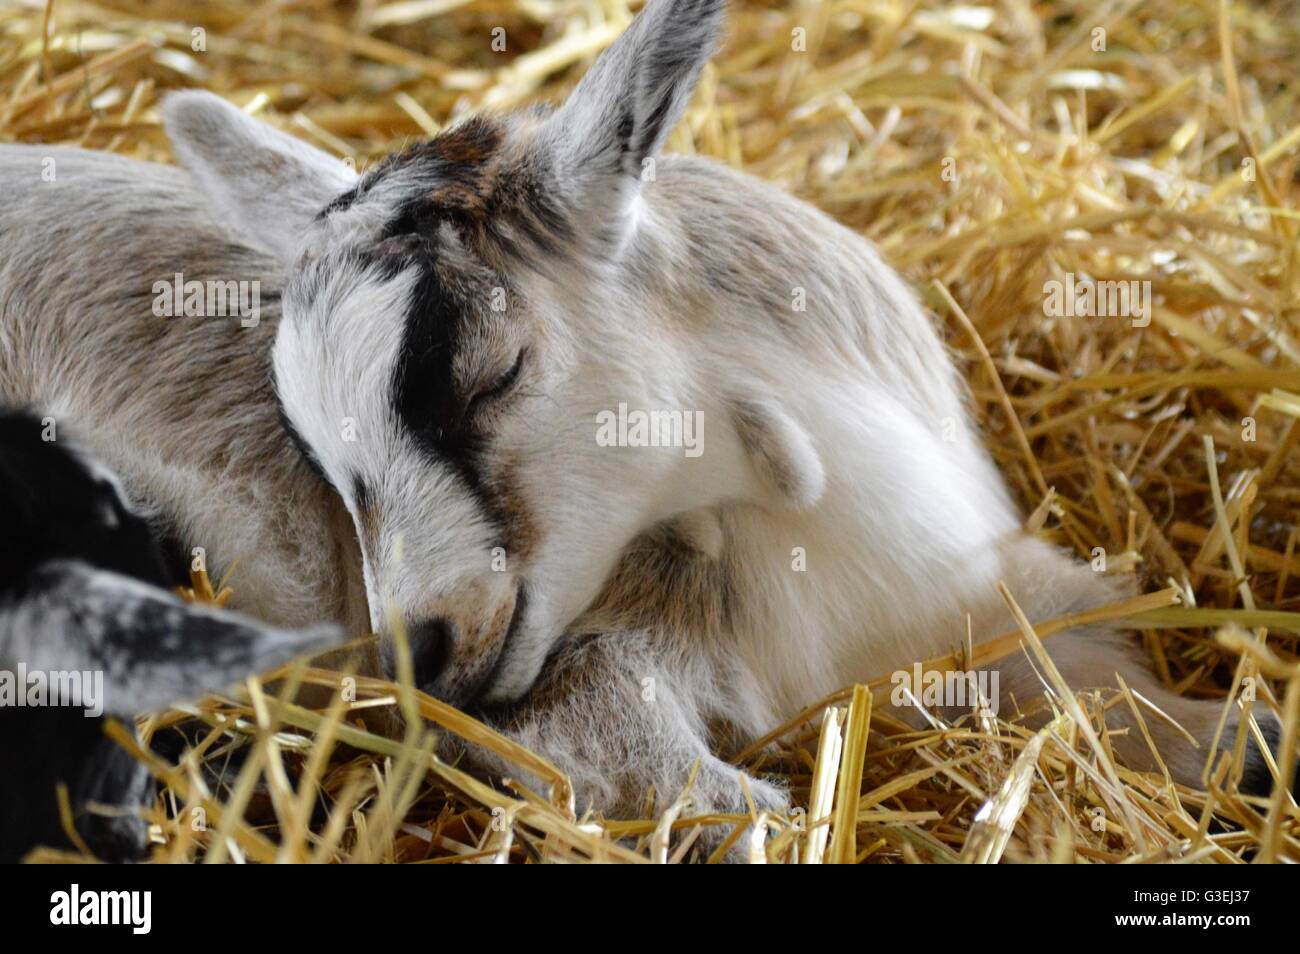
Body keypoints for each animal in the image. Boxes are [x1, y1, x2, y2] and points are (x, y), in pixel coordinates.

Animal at [159, 0, 1284, 844]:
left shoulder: (1001, 599)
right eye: (314, 449)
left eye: (489, 373)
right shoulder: (579, 666)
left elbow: (1141, 701)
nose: (413, 655)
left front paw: (1244, 743)